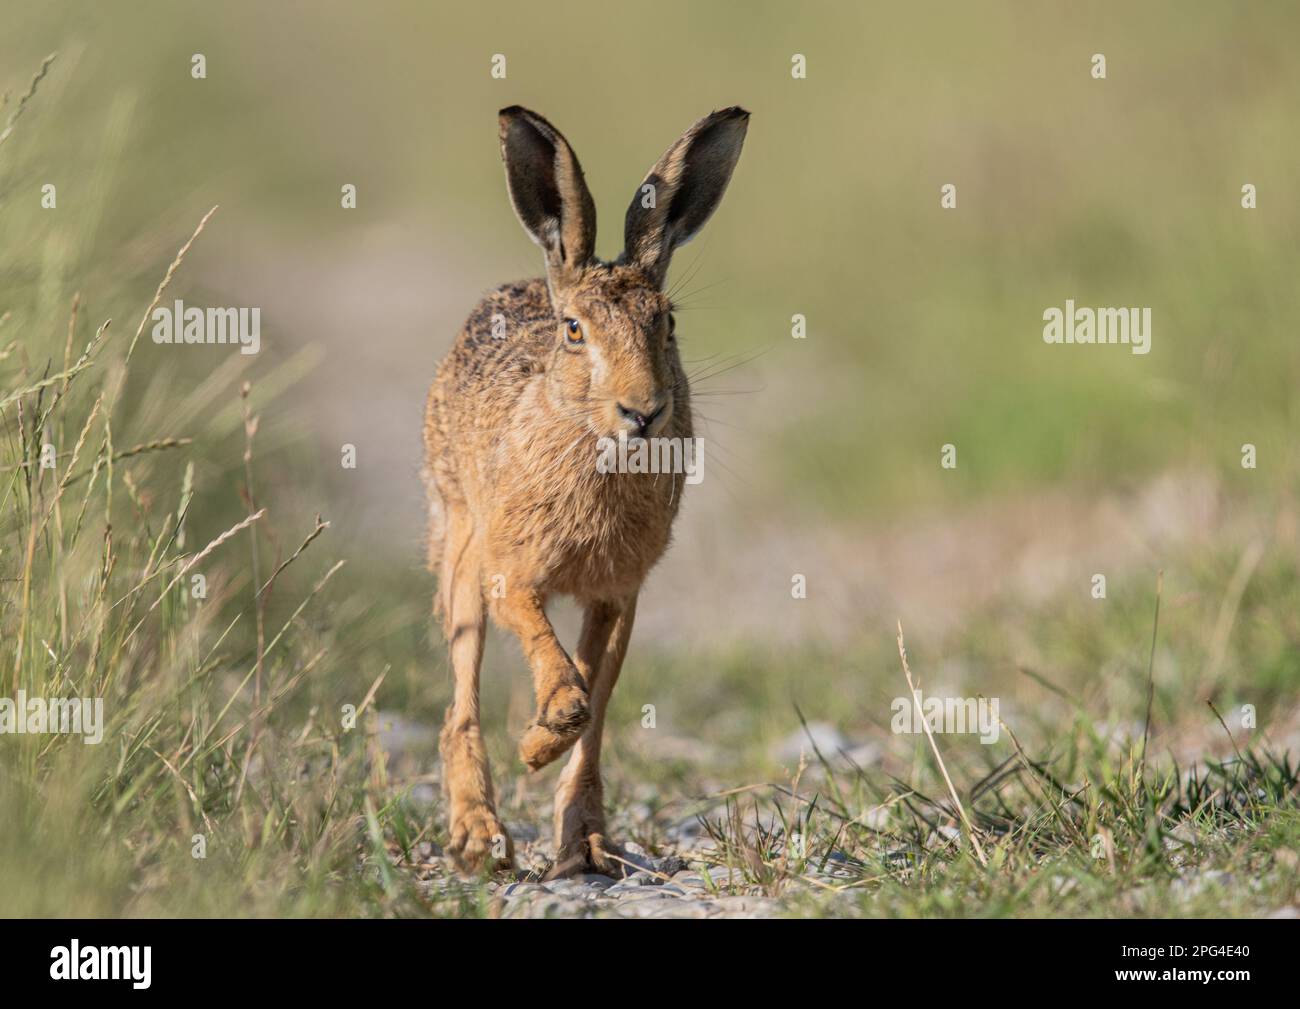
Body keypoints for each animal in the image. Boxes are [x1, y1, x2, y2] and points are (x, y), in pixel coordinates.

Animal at [423, 105, 748, 878]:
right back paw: (477, 835)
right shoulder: (509, 568)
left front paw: (586, 839)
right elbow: (561, 676)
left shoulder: (619, 593)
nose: (643, 411)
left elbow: (595, 707)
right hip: (458, 549)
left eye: (668, 322)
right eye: (575, 331)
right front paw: (538, 740)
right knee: (459, 697)